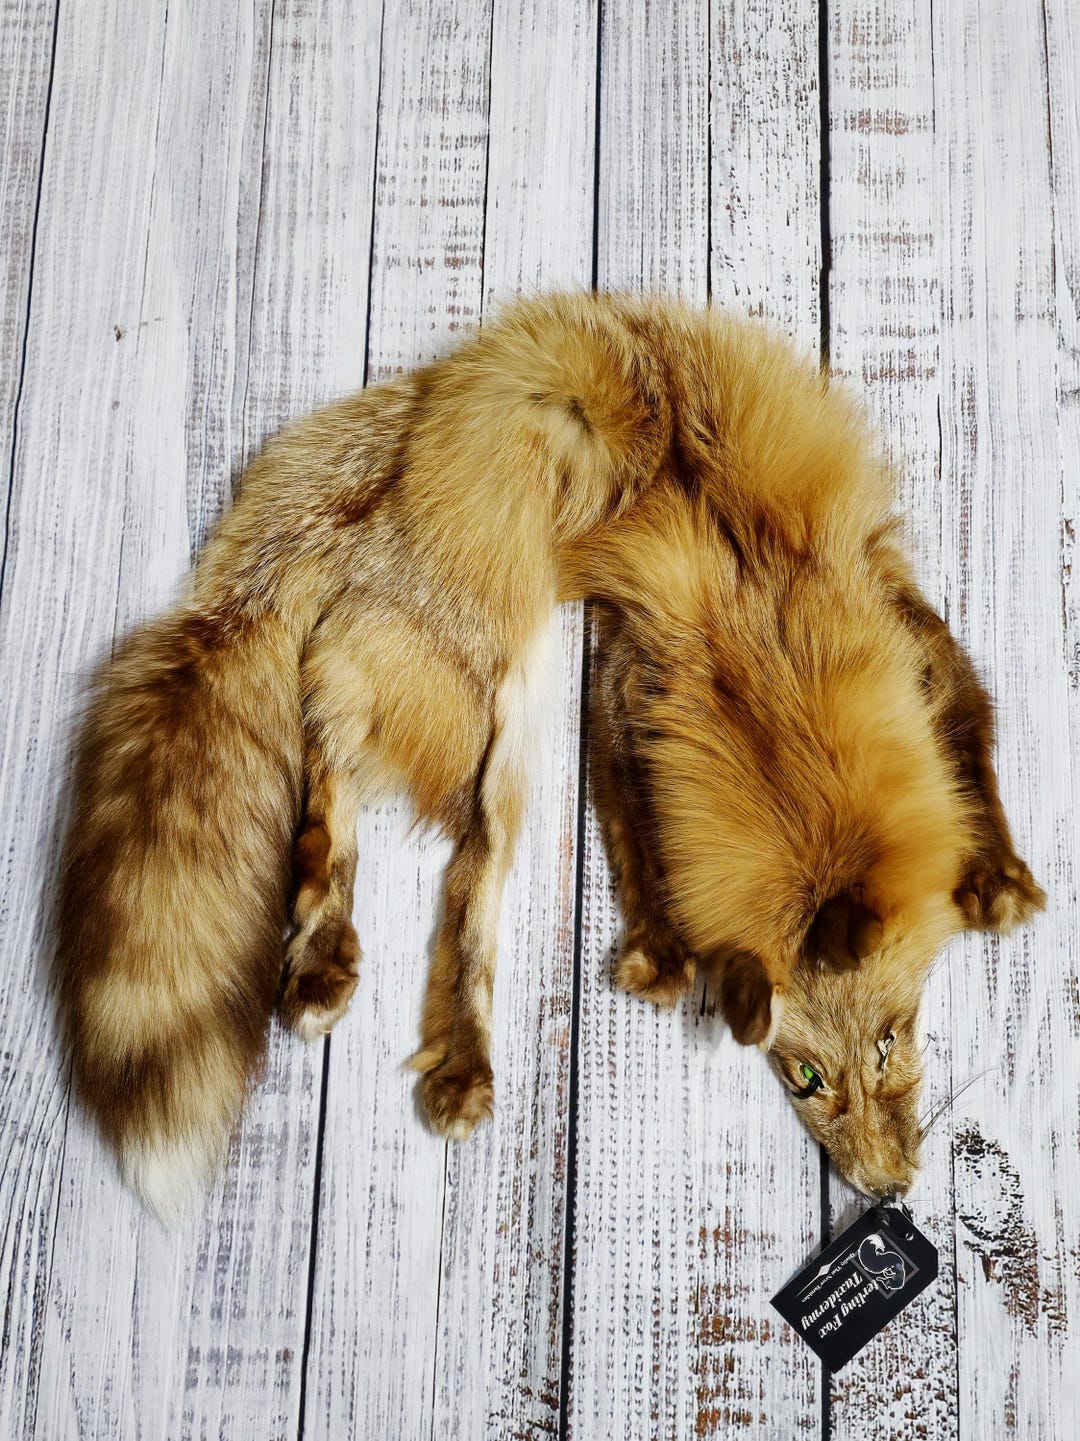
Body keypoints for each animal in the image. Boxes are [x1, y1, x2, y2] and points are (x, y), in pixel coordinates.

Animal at [56, 291, 1044, 1219]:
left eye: (887, 1043)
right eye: (808, 1078)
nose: (887, 1189)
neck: (770, 656)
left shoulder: (773, 627)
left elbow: (969, 717)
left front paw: (995, 874)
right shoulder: (640, 672)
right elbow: (635, 823)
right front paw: (658, 945)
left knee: (345, 769)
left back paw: (321, 957)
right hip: (498, 671)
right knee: (447, 856)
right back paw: (456, 1059)